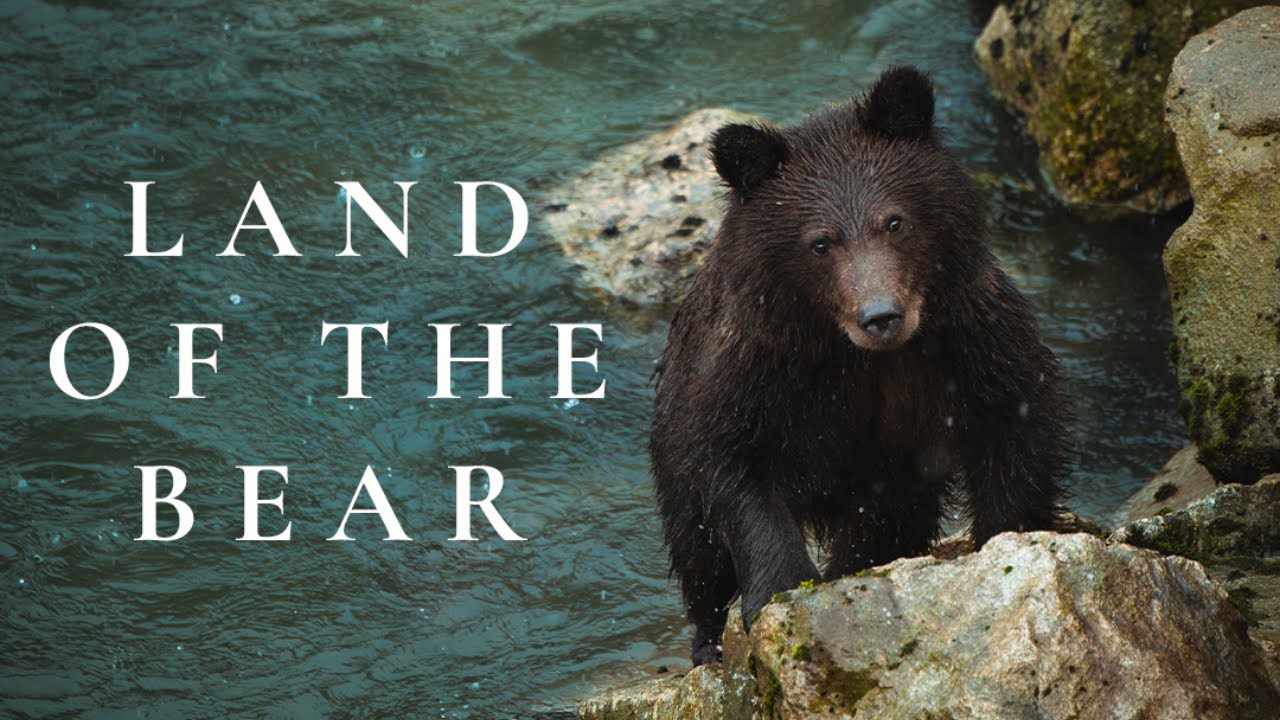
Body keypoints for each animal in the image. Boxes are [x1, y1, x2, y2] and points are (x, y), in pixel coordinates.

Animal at [649, 66, 1069, 666]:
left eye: (893, 220)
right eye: (820, 242)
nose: (881, 315)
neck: (861, 356)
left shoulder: (969, 340)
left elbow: (1016, 423)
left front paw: (1006, 540)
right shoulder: (758, 372)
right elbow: (733, 469)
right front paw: (776, 591)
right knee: (697, 550)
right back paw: (708, 639)